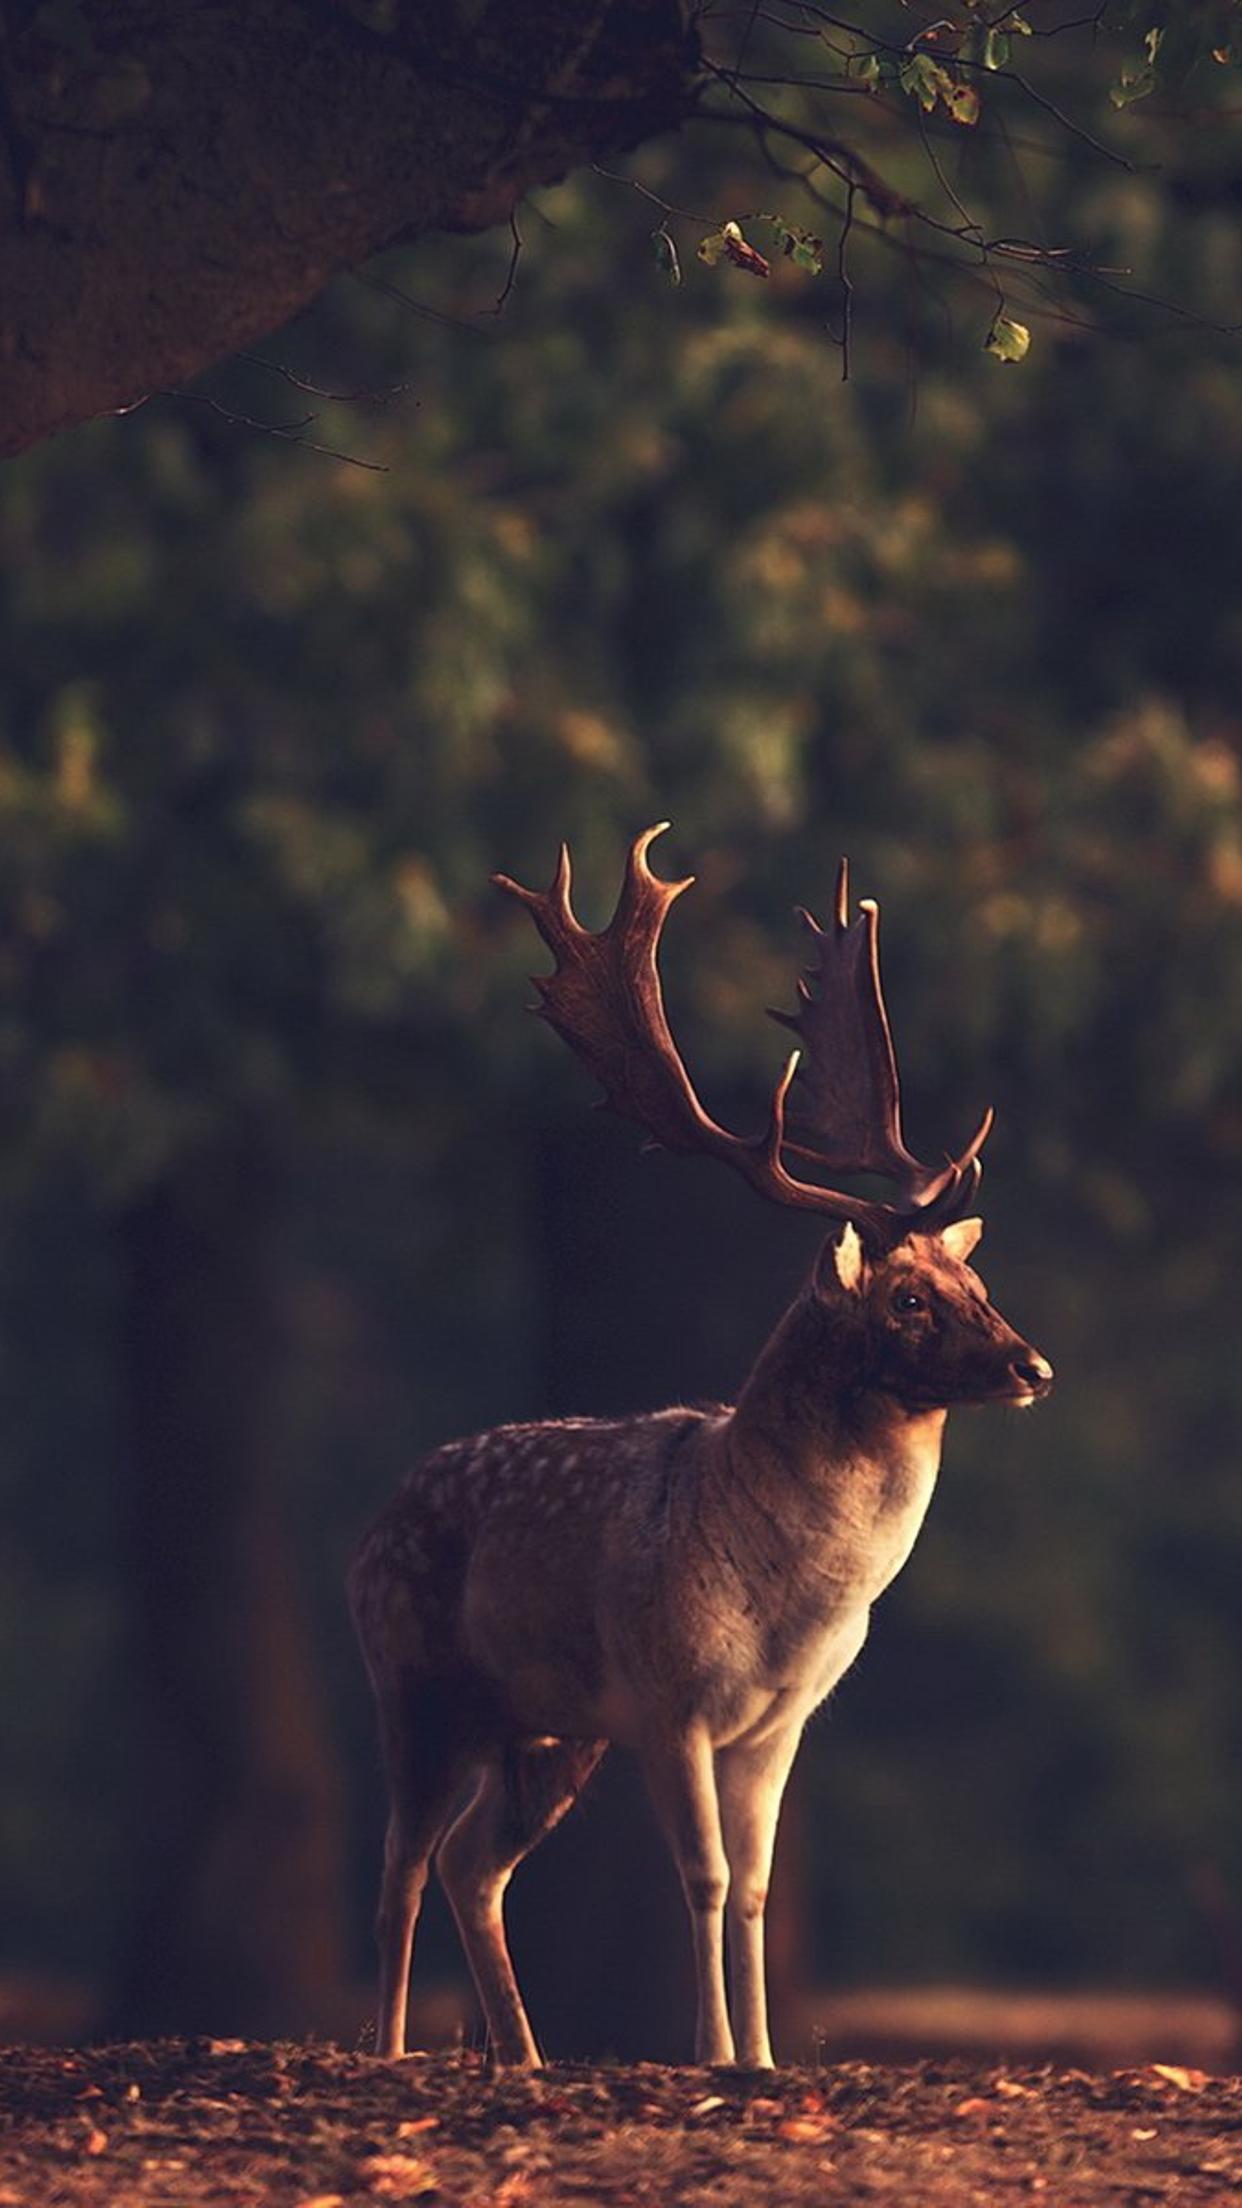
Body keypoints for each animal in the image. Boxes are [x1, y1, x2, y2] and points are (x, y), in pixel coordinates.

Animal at [348, 823, 1052, 2071]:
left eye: (977, 1283)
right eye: (909, 1300)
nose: (1033, 1367)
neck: (792, 1603)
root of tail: (367, 1532)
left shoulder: (779, 1722)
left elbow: (761, 1887)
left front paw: (764, 2057)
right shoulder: (669, 1698)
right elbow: (708, 1877)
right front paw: (714, 2054)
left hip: (547, 1728)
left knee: (474, 1865)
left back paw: (527, 2056)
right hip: (414, 1681)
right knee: (401, 1873)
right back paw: (390, 2052)